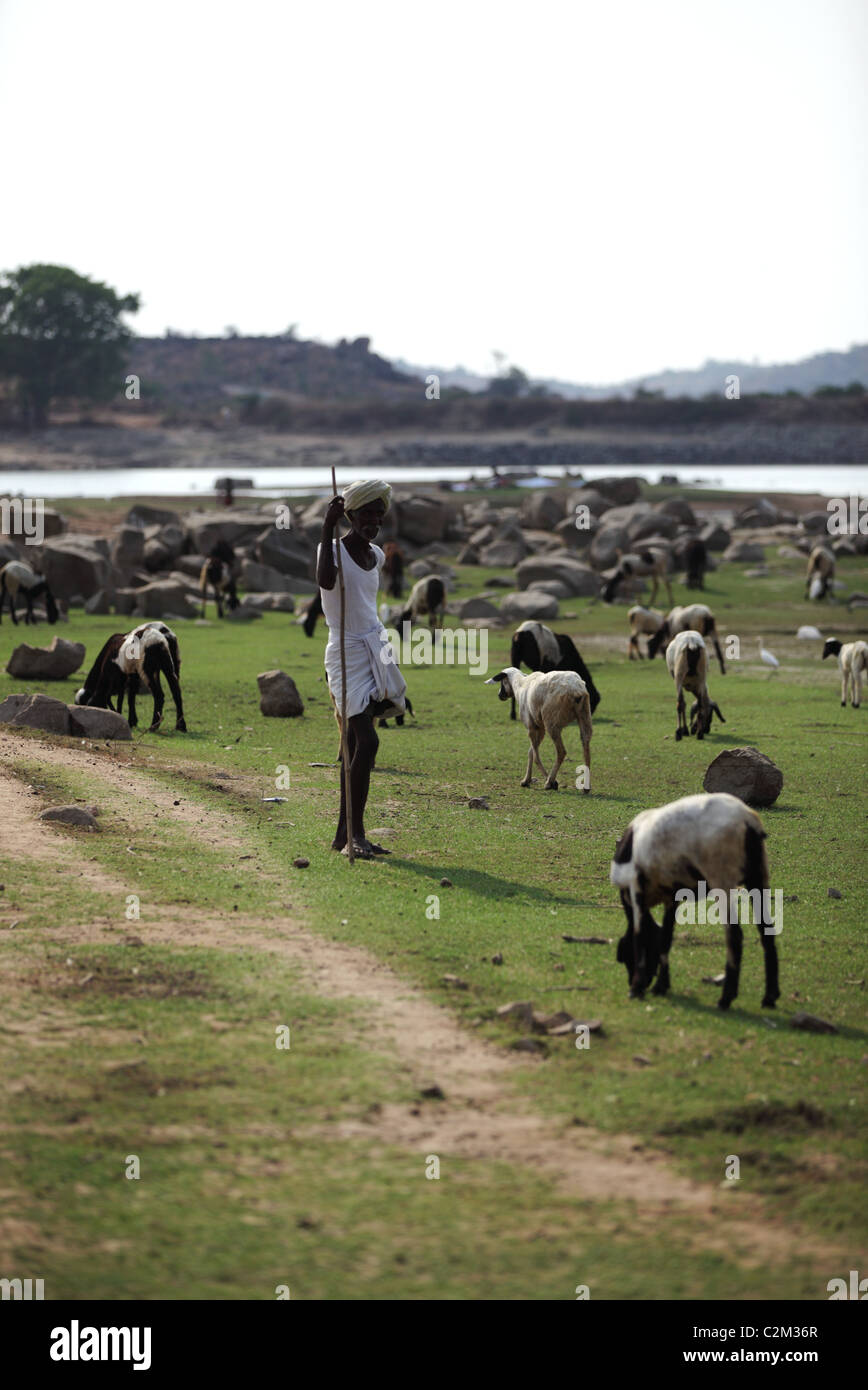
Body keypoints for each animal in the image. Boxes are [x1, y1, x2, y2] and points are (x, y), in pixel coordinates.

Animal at [610, 791, 781, 1010]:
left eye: (625, 957)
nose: (637, 983)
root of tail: (747, 819)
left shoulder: (636, 888)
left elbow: (639, 937)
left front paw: (636, 989)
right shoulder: (671, 896)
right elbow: (665, 938)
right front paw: (661, 986)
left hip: (722, 877)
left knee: (734, 935)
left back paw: (725, 999)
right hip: (758, 875)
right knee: (767, 931)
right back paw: (769, 997)